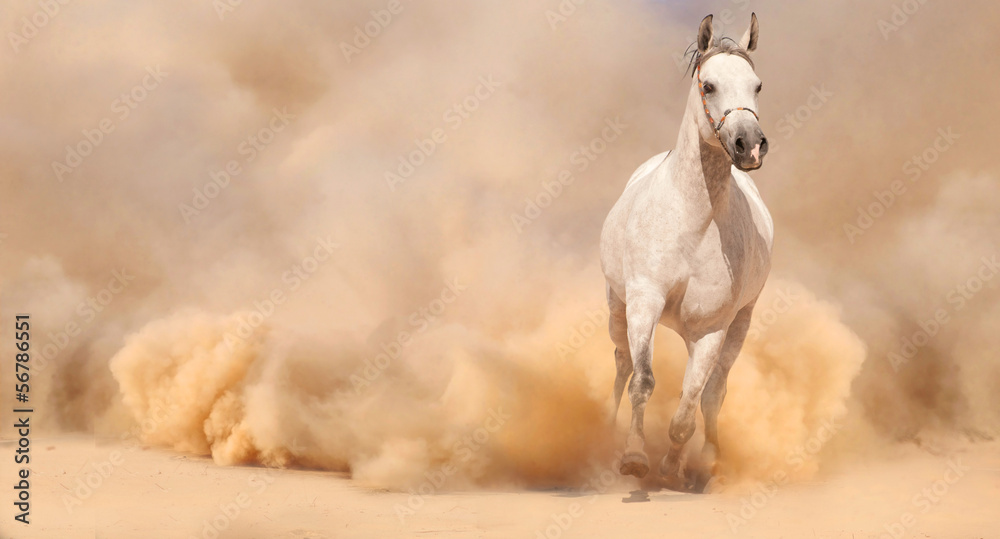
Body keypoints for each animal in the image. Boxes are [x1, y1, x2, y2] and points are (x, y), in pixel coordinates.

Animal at [599, 13, 773, 492]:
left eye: (757, 85)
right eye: (709, 85)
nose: (750, 145)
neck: (693, 224)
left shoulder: (712, 329)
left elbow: (690, 406)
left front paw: (673, 466)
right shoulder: (644, 301)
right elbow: (642, 380)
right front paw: (634, 457)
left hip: (740, 323)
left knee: (714, 392)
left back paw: (708, 459)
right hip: (616, 308)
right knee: (622, 366)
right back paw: (609, 432)